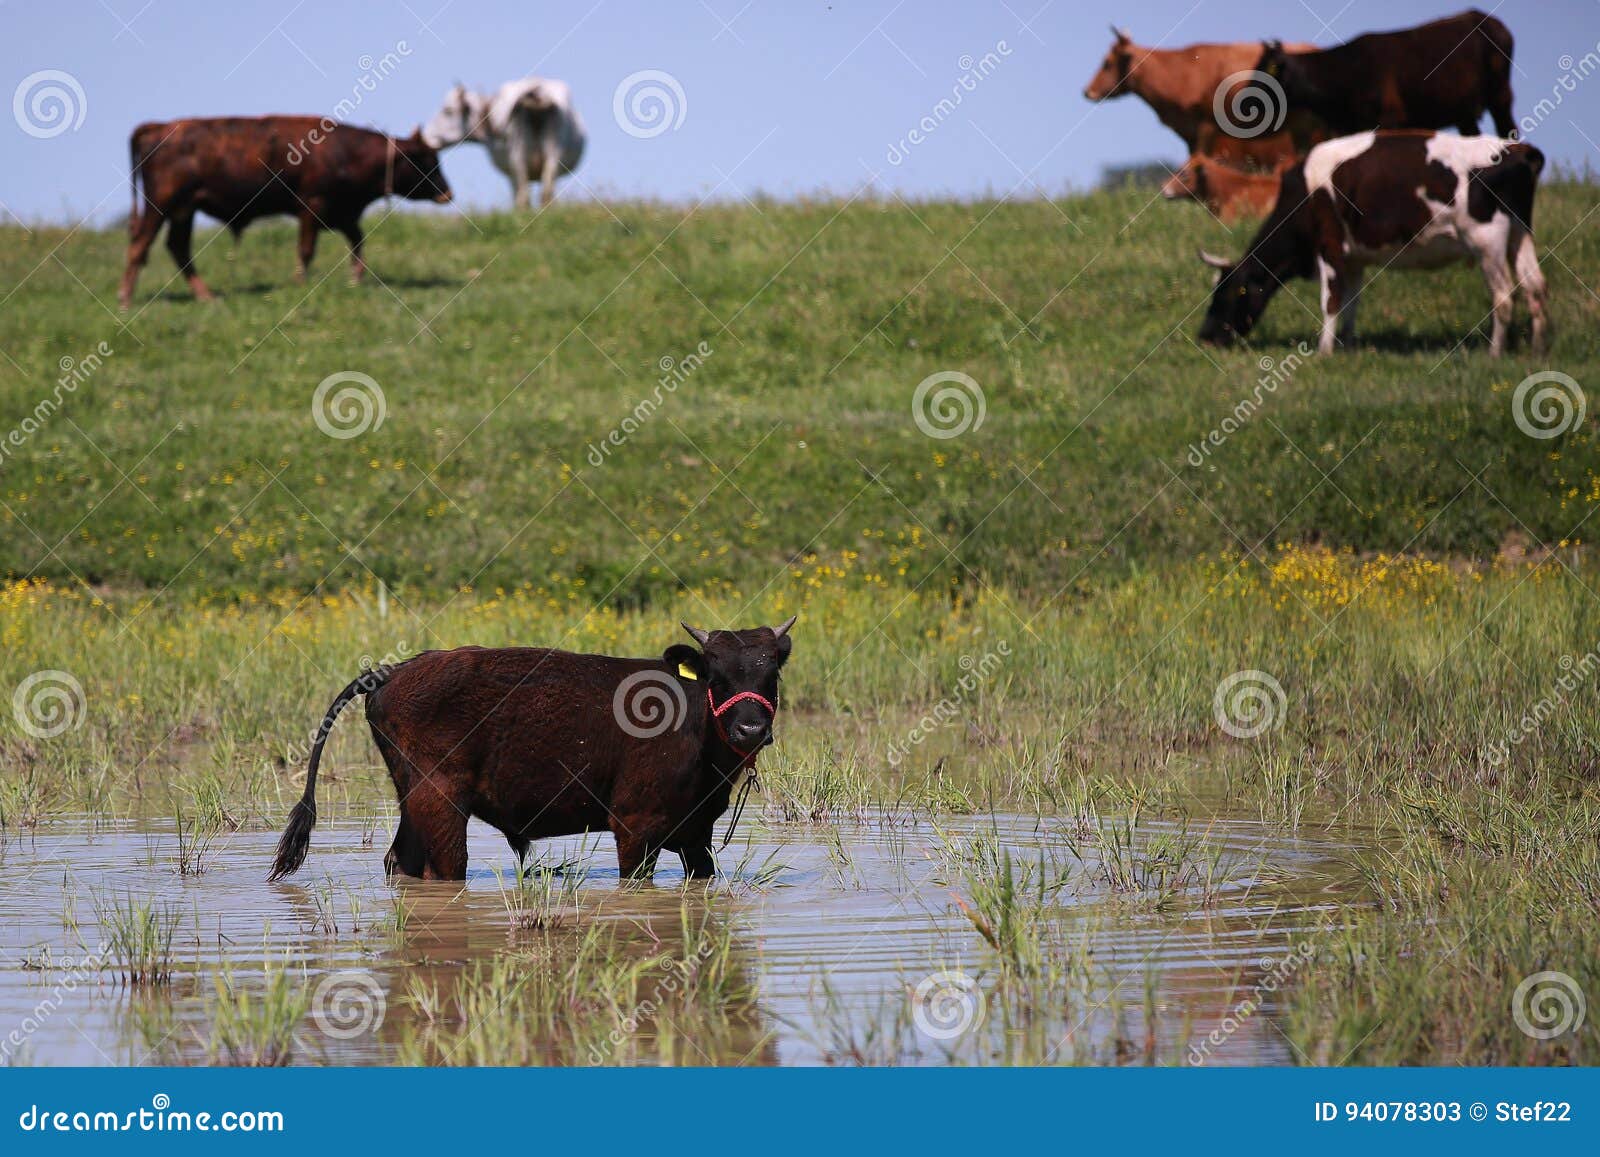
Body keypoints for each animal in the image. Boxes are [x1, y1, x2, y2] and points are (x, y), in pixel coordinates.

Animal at [119, 117, 451, 310]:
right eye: (426, 160)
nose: (448, 193)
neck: (344, 151)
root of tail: (157, 127)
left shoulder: (343, 214)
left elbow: (357, 243)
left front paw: (356, 278)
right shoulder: (312, 207)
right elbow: (306, 249)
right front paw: (301, 283)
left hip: (183, 211)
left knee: (177, 248)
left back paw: (205, 296)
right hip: (160, 206)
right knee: (140, 245)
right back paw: (125, 299)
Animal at [268, 617, 797, 883]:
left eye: (770, 669)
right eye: (715, 672)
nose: (750, 728)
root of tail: (393, 670)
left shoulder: (696, 834)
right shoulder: (635, 827)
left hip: (413, 802)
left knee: (401, 861)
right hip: (440, 804)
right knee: (440, 867)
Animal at [421, 76, 586, 208]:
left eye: (447, 111)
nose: (425, 136)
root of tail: (536, 88)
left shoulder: (509, 173)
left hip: (517, 156)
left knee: (524, 197)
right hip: (552, 155)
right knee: (545, 192)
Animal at [1197, 131, 1548, 357]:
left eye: (1228, 292)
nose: (1205, 337)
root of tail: (1519, 150)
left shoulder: (1330, 245)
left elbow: (1331, 300)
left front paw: (1324, 352)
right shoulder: (1354, 259)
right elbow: (1352, 301)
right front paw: (1348, 346)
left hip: (1488, 242)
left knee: (1504, 297)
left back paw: (1494, 354)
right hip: (1519, 235)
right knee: (1536, 287)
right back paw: (1536, 351)